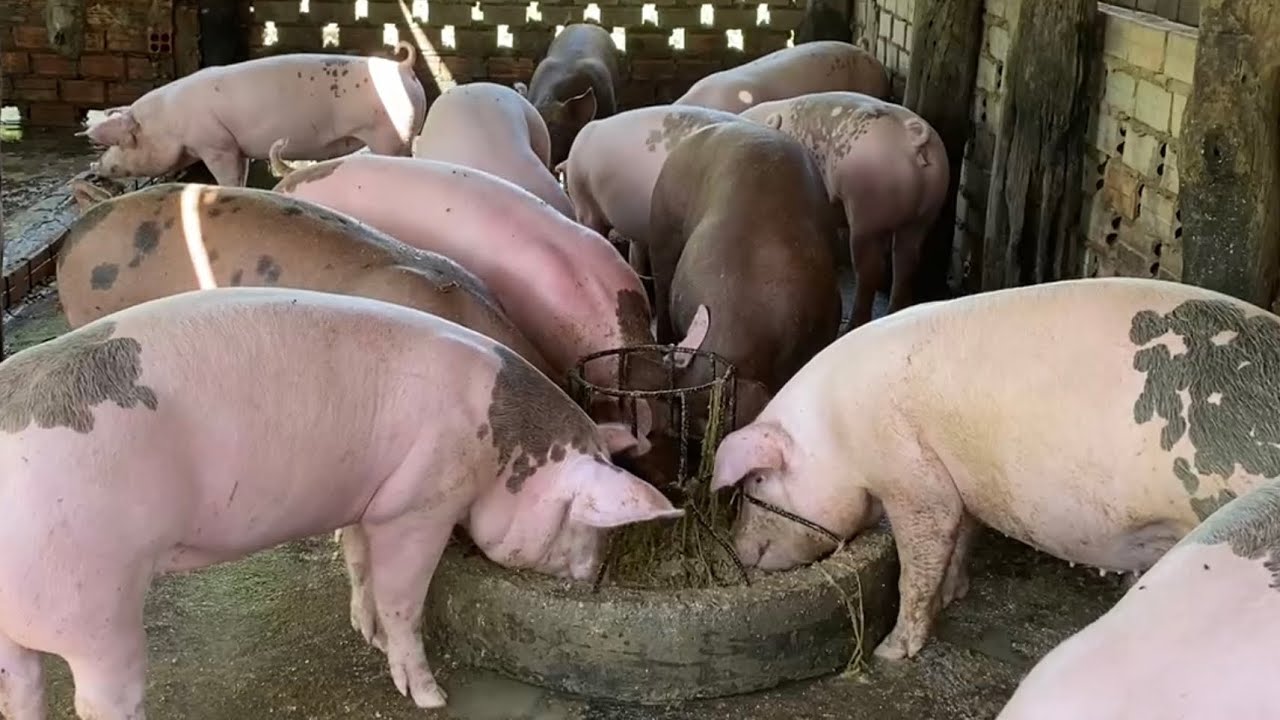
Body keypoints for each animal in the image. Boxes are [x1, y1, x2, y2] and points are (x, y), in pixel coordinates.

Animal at [0, 286, 680, 717]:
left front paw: (366, 633)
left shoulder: (364, 498)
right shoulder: (419, 502)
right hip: (94, 607)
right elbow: (404, 598)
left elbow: (357, 562)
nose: (593, 577)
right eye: (586, 522)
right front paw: (430, 697)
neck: (499, 452)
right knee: (100, 698)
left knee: (21, 689)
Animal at [78, 43, 428, 187]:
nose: (95, 167)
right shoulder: (237, 146)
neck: (170, 122)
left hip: (390, 134)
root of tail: (403, 66)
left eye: (123, 142)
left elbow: (227, 176)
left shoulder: (215, 144)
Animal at [710, 277, 1280, 662]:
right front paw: (955, 595)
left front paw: (891, 653)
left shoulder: (910, 472)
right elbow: (960, 538)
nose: (738, 546)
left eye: (756, 481)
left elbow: (921, 558)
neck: (835, 429)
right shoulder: (957, 477)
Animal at [741, 92, 951, 329]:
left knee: (869, 270)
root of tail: (912, 134)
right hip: (926, 213)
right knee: (906, 260)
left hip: (867, 212)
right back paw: (895, 309)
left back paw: (853, 324)